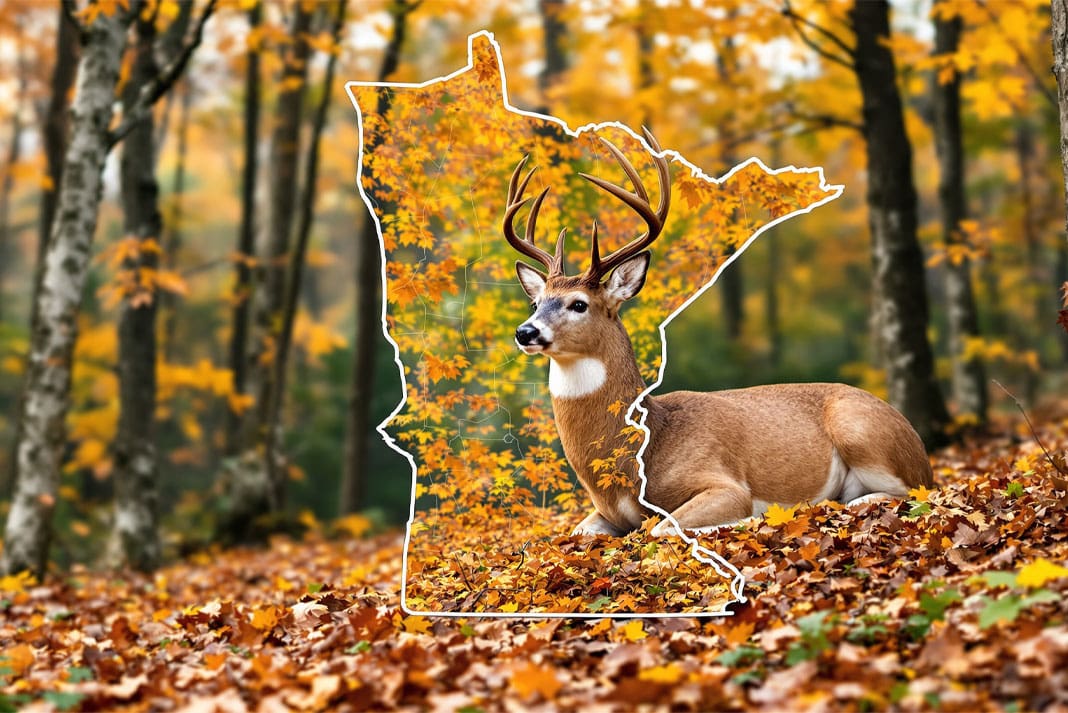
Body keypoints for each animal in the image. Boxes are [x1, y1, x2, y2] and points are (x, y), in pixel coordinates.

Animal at [504, 129, 934, 538]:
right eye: (535, 302)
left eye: (579, 304)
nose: (525, 332)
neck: (637, 454)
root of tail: (915, 440)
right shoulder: (604, 513)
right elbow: (577, 531)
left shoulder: (723, 482)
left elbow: (663, 526)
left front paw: (745, 521)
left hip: (861, 431)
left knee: (911, 492)